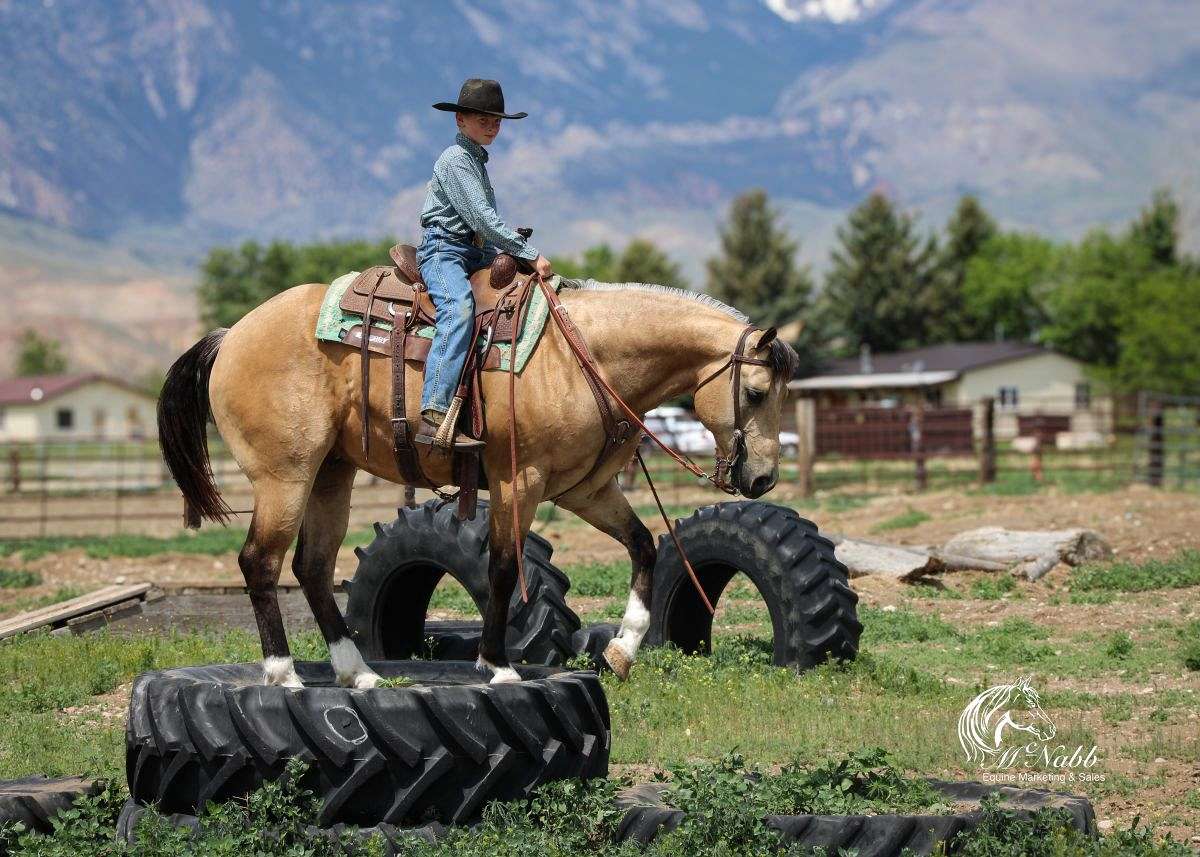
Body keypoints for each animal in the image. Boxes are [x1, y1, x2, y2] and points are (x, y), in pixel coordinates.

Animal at [157, 277, 799, 687]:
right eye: (756, 393)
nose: (764, 477)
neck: (581, 356)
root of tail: (230, 336)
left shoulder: (585, 490)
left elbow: (644, 546)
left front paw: (621, 650)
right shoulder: (521, 481)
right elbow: (503, 568)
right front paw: (499, 664)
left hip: (330, 475)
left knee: (311, 567)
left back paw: (357, 673)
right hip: (284, 475)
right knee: (260, 563)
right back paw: (283, 674)